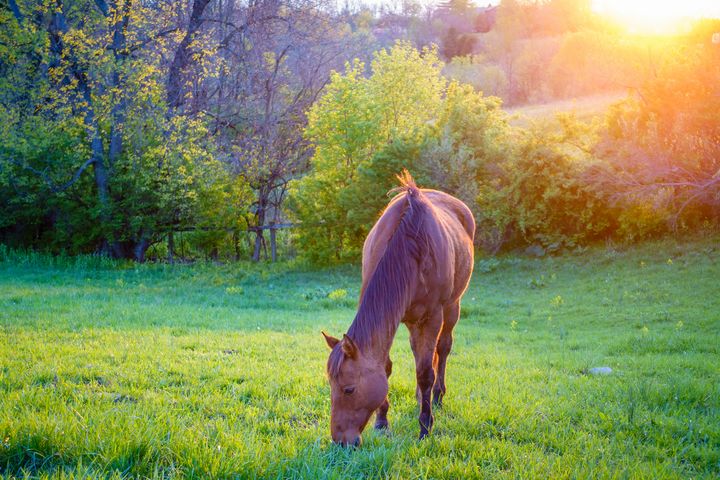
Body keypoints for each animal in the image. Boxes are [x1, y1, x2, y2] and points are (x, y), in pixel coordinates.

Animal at [322, 171, 475, 446]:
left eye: (349, 389)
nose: (341, 442)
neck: (409, 247)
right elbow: (387, 366)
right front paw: (382, 422)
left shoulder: (432, 317)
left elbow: (425, 372)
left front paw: (425, 427)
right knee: (419, 352)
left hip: (451, 307)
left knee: (443, 349)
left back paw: (437, 397)